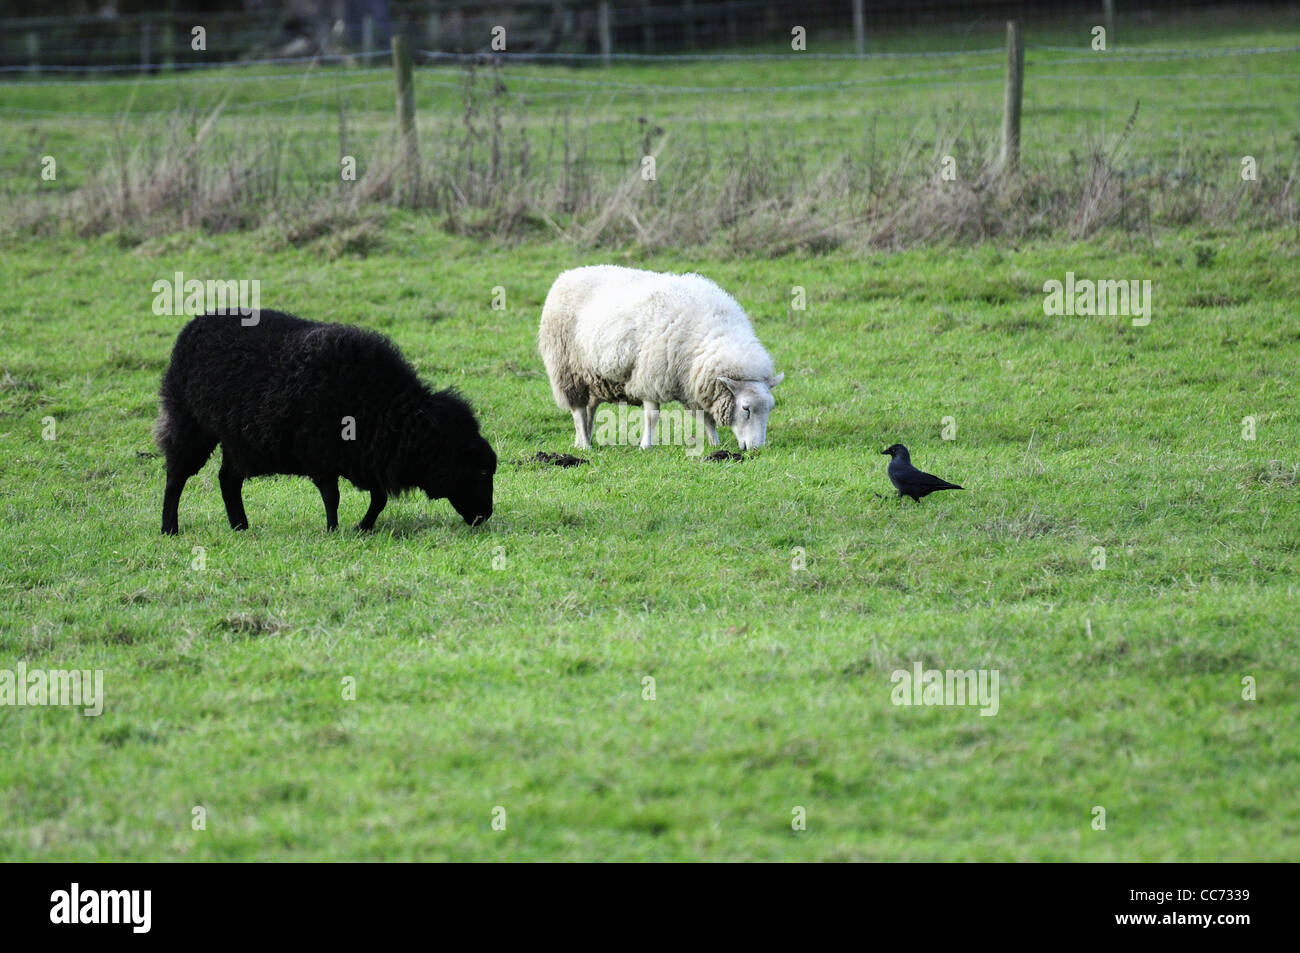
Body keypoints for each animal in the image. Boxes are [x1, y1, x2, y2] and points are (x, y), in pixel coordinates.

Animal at [154, 310, 496, 535]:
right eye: (480, 471)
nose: (486, 515)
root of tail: (194, 325)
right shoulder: (320, 456)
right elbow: (333, 497)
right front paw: (333, 529)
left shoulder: (365, 458)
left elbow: (380, 498)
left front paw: (362, 527)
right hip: (189, 423)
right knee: (176, 477)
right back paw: (169, 527)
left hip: (240, 440)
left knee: (228, 480)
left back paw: (240, 526)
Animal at [538, 266, 784, 451]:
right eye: (746, 409)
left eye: (770, 409)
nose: (756, 449)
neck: (711, 334)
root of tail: (567, 274)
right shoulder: (649, 376)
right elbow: (652, 417)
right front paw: (646, 446)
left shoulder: (695, 383)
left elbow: (707, 418)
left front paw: (714, 443)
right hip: (567, 369)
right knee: (578, 410)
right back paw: (586, 446)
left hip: (594, 375)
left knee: (590, 408)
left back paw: (583, 440)